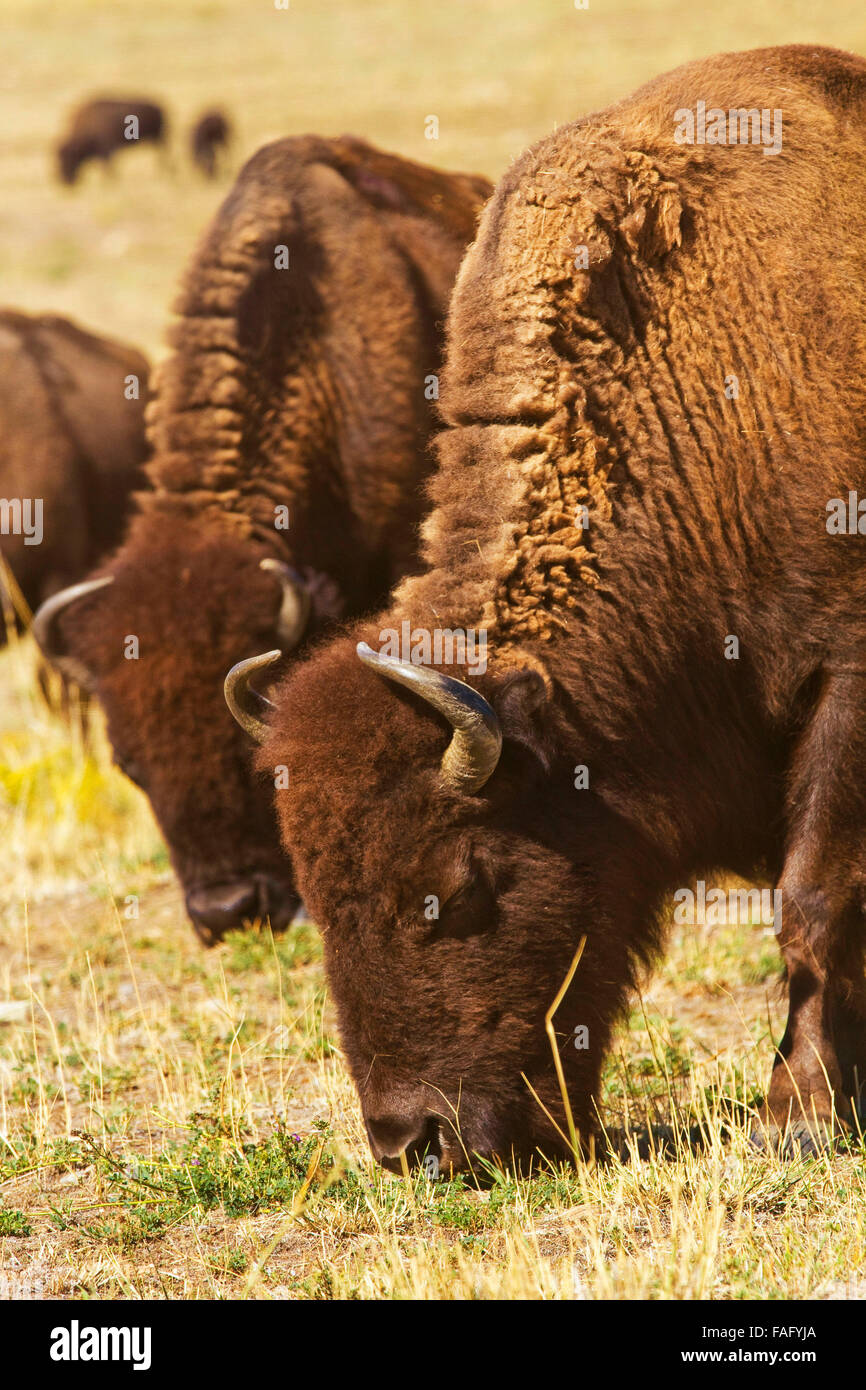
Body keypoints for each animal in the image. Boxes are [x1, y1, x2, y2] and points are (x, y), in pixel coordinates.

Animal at [230, 45, 866, 1170]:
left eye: (458, 889)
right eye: (315, 899)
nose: (413, 1141)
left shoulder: (846, 680)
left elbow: (816, 902)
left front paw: (795, 1117)